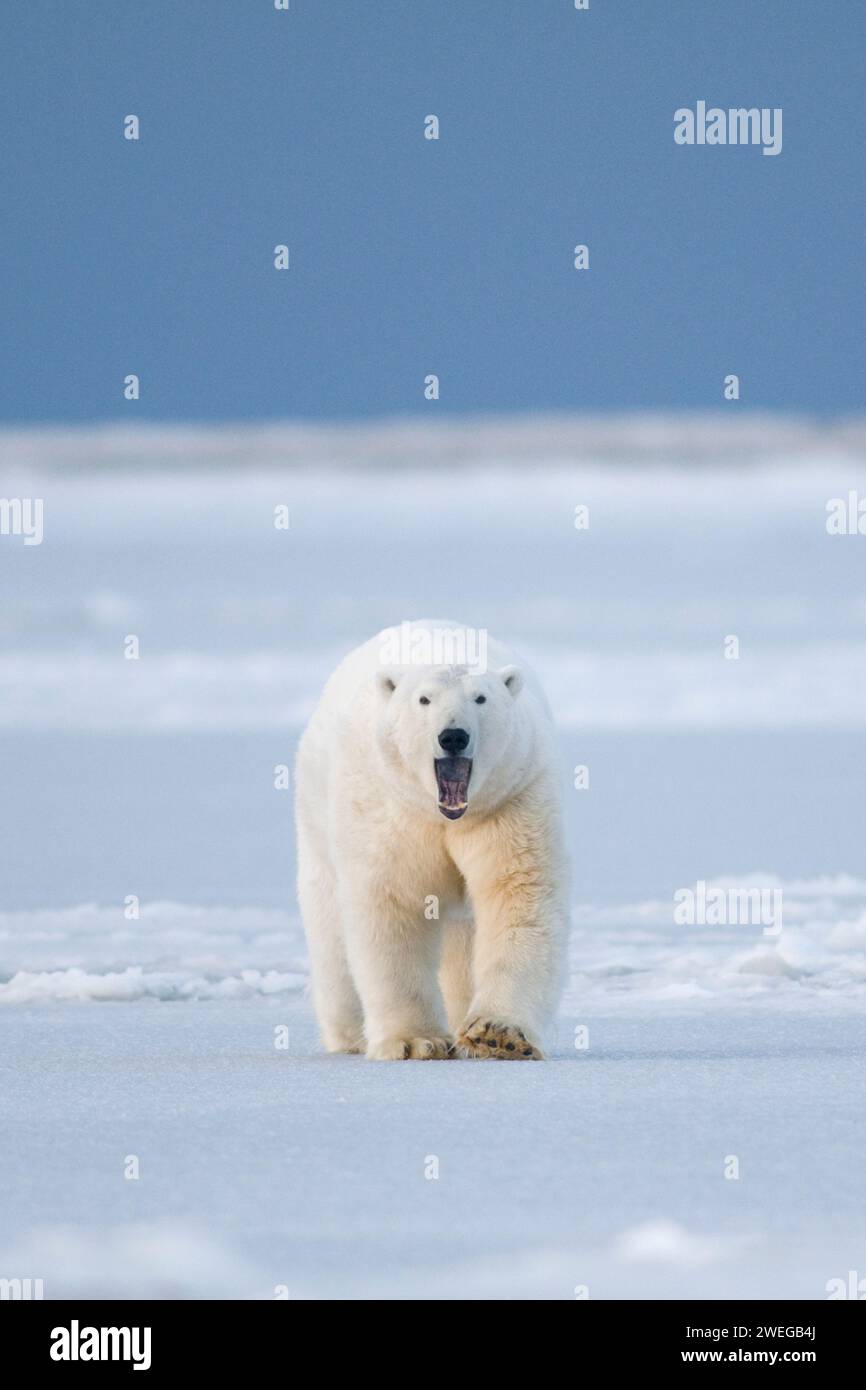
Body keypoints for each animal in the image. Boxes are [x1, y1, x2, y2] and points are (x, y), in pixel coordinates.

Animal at [295, 620, 570, 1060]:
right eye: (424, 699)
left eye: (481, 697)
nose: (453, 736)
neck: (444, 815)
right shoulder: (389, 809)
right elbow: (393, 903)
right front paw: (414, 1041)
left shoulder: (512, 797)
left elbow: (517, 893)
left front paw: (498, 1035)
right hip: (317, 826)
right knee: (331, 939)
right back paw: (348, 1037)